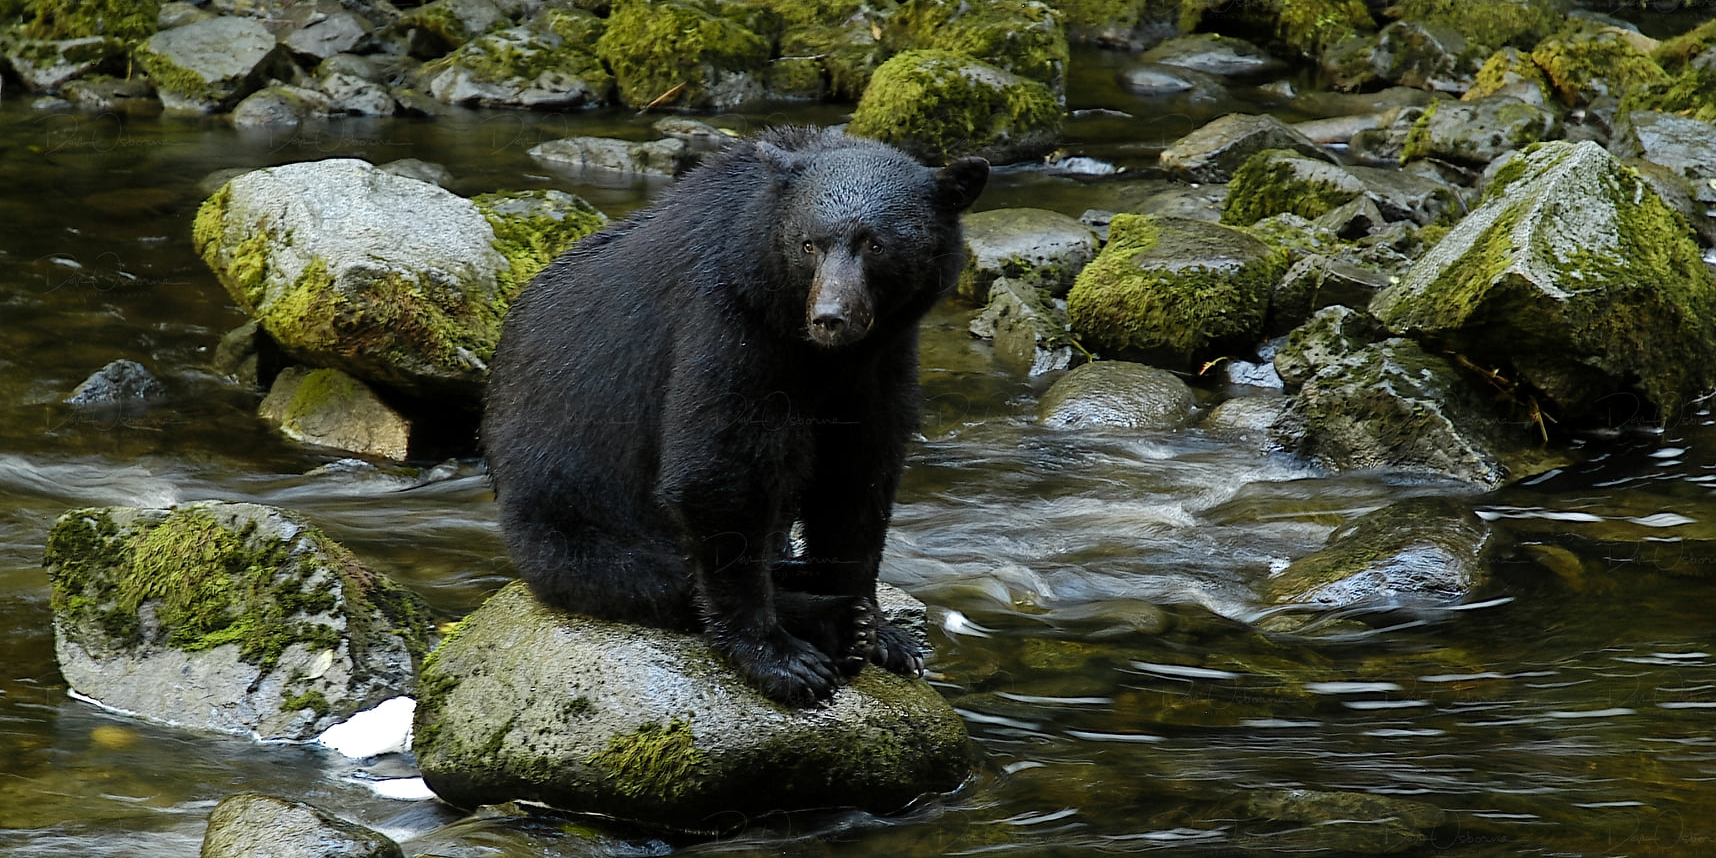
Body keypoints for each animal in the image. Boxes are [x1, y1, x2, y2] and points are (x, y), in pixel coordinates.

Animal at [482, 127, 987, 705]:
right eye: (810, 244)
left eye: (875, 244)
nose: (830, 318)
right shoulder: (727, 325)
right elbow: (718, 470)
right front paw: (782, 656)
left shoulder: (882, 361)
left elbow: (858, 478)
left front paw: (883, 631)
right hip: (567, 517)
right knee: (646, 575)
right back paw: (831, 621)